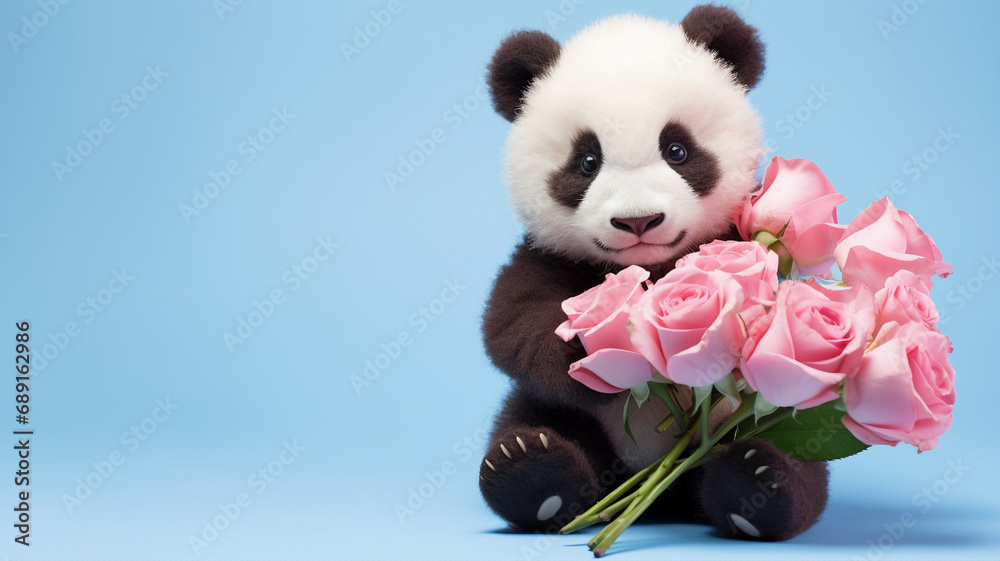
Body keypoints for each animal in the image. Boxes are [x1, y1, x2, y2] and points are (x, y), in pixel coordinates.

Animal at [479, 5, 829, 541]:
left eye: (677, 150)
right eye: (587, 161)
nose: (638, 221)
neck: (650, 263)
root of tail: (668, 496)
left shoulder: (741, 241)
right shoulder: (547, 255)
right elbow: (512, 325)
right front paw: (591, 351)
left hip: (759, 420)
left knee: (796, 451)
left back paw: (757, 486)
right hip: (562, 418)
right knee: (532, 420)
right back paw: (532, 472)